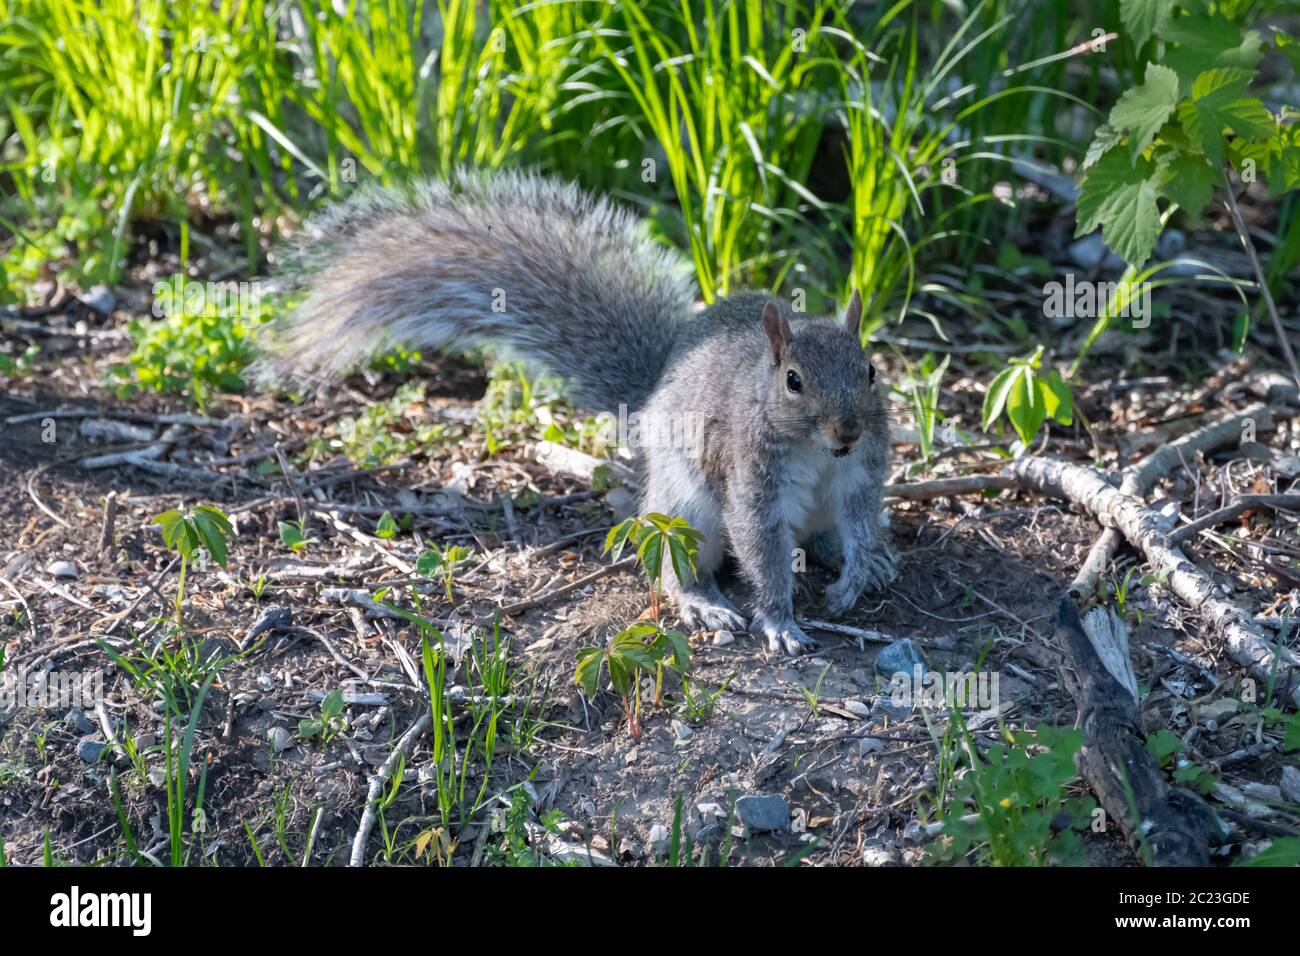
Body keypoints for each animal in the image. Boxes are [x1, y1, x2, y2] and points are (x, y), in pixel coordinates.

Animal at [257, 170, 895, 654]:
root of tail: (651, 398)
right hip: (682, 508)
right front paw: (781, 622)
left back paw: (857, 558)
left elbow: (861, 520)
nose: (848, 429)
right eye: (793, 381)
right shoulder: (750, 479)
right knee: (674, 565)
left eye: (870, 370)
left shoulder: (861, 475)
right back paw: (701, 601)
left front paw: (857, 573)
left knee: (821, 535)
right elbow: (762, 550)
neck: (818, 451)